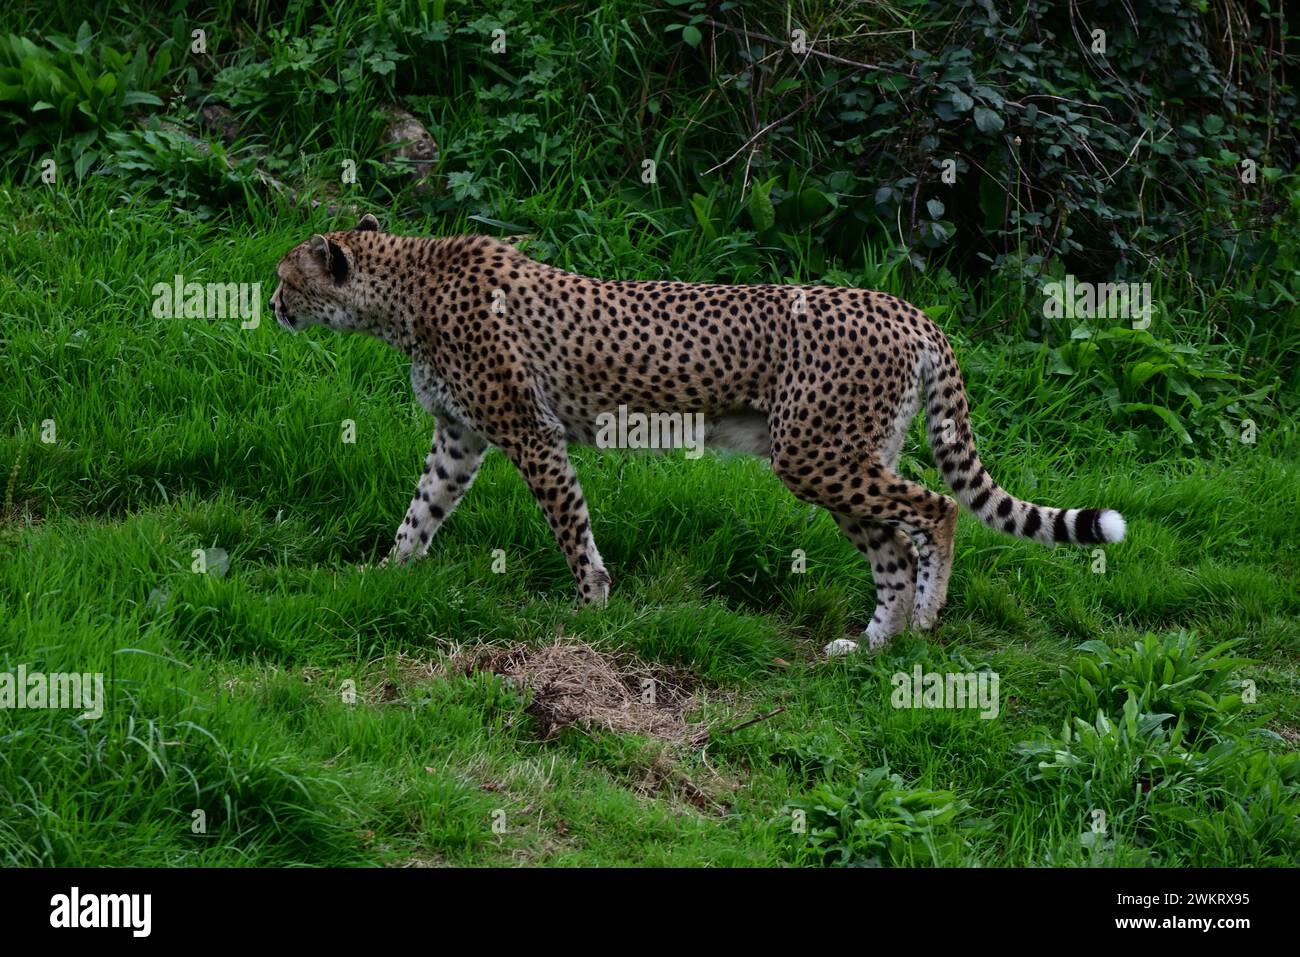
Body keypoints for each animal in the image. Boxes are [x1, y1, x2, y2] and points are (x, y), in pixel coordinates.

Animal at [270, 213, 1126, 656]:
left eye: (285, 276)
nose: (271, 304)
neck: (405, 291)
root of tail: (908, 308)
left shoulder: (531, 434)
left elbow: (569, 525)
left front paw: (591, 609)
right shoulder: (460, 437)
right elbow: (420, 513)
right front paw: (386, 576)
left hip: (817, 454)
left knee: (936, 512)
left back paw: (923, 621)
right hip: (840, 457)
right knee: (893, 544)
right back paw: (874, 644)